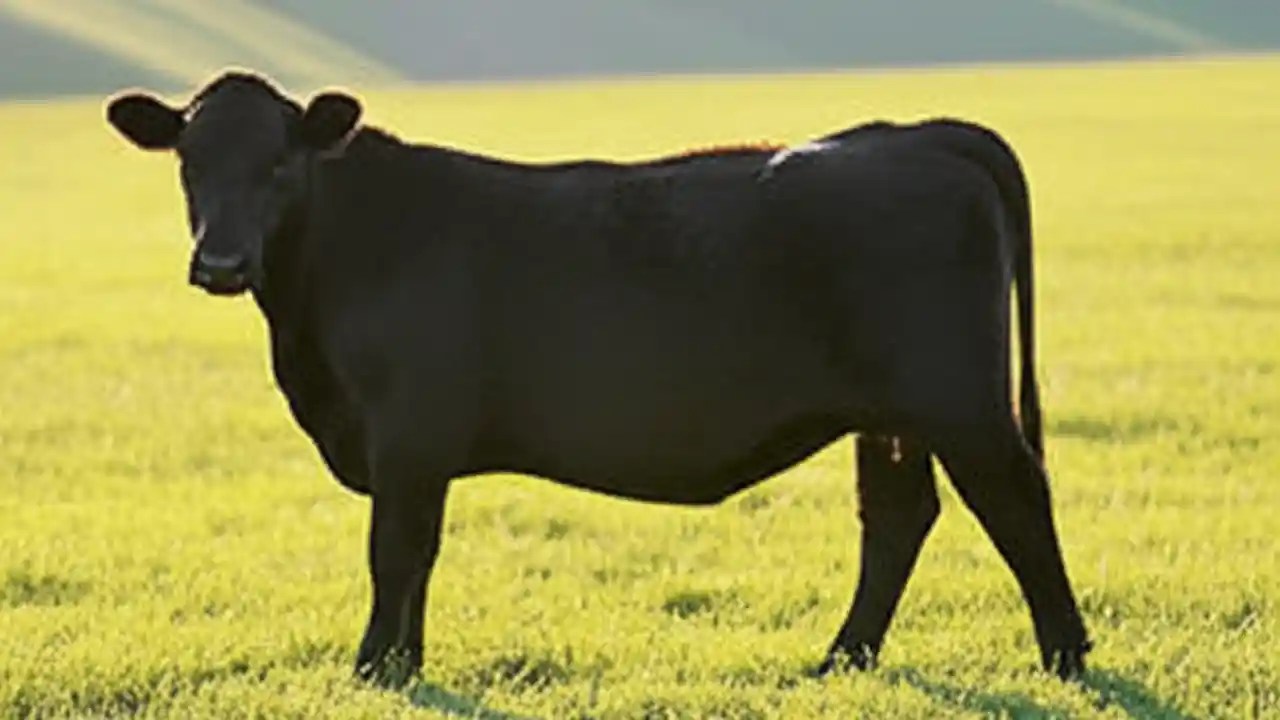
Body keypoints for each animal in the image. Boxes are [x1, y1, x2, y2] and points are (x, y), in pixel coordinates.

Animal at [105, 71, 1091, 686]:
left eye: (280, 163)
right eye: (189, 161)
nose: (220, 262)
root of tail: (912, 132)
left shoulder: (409, 436)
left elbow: (396, 553)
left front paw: (373, 668)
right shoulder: (413, 453)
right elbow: (418, 557)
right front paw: (403, 664)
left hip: (960, 403)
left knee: (1016, 500)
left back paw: (1066, 655)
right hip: (890, 413)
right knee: (897, 514)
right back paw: (842, 658)